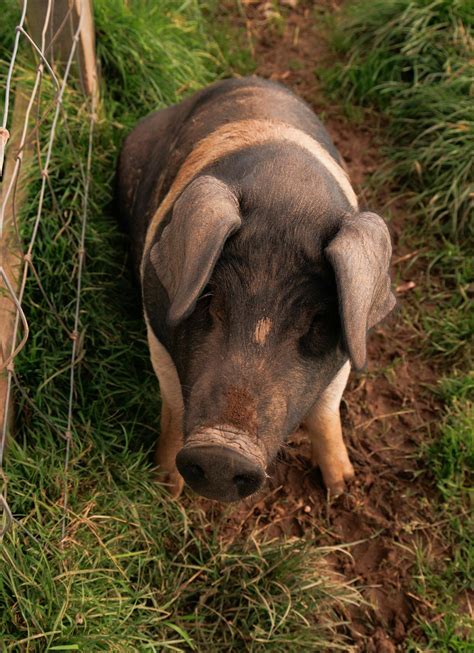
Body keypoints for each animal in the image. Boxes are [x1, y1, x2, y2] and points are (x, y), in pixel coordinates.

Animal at [116, 76, 396, 503]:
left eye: (320, 319)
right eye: (209, 296)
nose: (223, 454)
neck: (287, 195)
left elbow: (325, 411)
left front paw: (343, 487)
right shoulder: (156, 330)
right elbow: (175, 407)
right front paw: (164, 486)